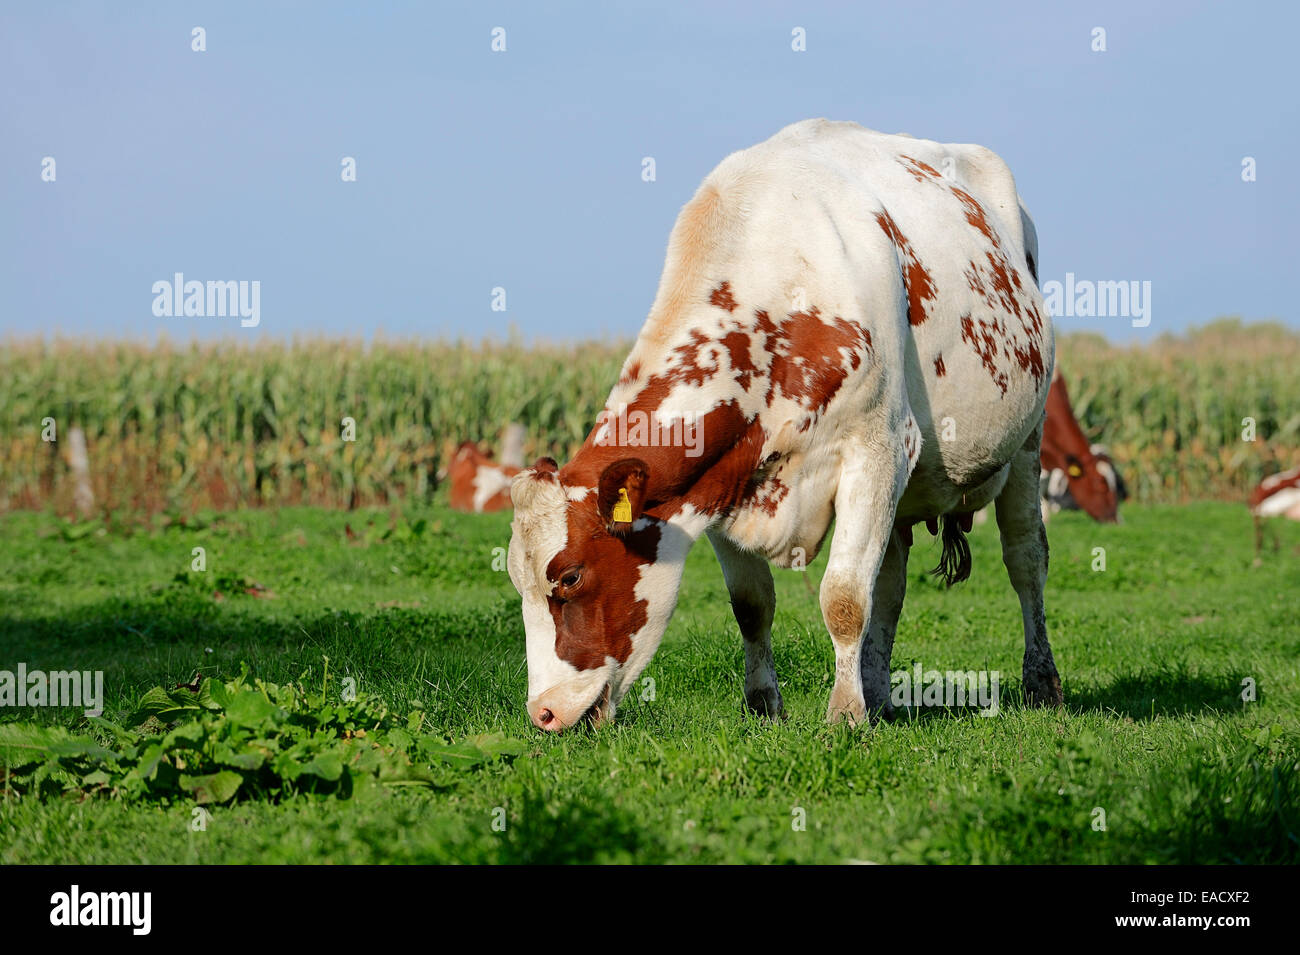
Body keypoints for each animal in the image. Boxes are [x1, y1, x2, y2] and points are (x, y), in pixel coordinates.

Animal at [506, 119, 1061, 732]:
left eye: (570, 577)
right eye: (518, 583)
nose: (543, 712)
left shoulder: (877, 450)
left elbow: (844, 598)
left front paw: (844, 714)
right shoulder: (722, 480)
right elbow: (753, 604)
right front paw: (765, 703)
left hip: (1027, 441)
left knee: (1026, 559)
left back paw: (1040, 683)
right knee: (891, 581)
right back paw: (878, 691)